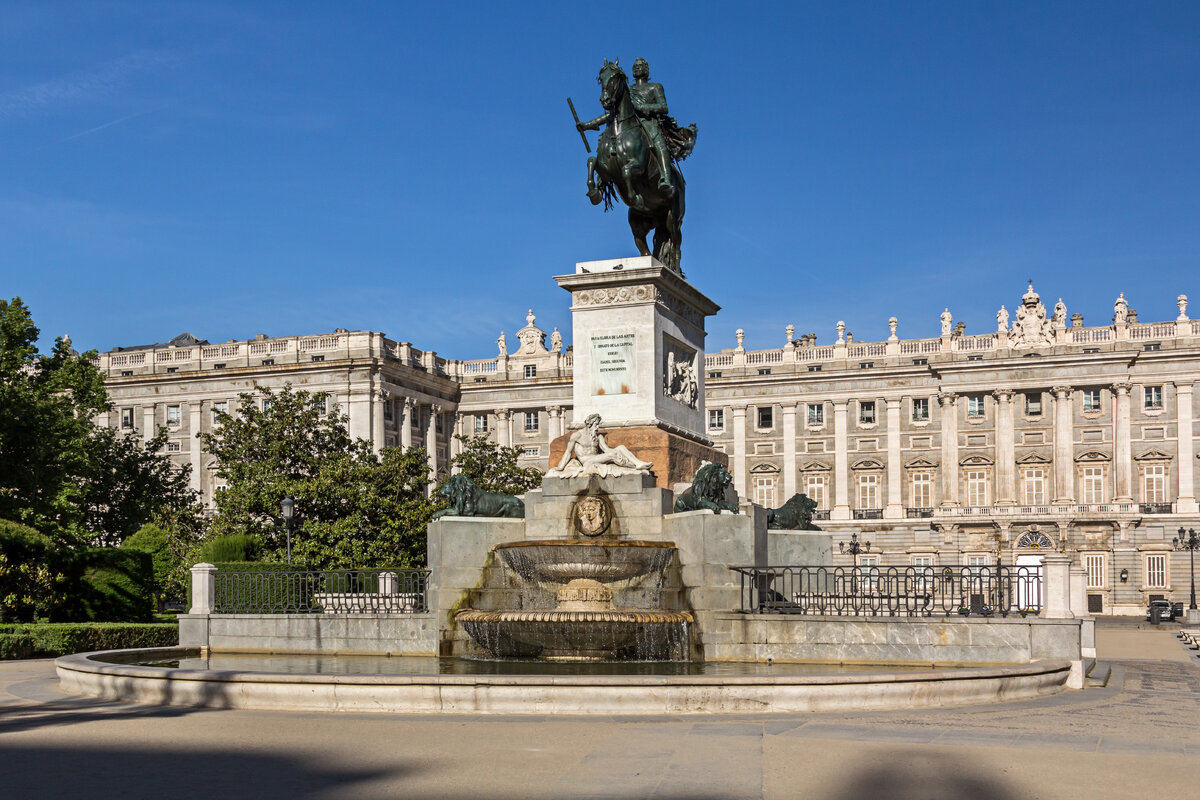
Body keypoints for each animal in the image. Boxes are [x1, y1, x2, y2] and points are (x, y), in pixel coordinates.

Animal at [583, 60, 686, 275]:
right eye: (601, 78)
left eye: (615, 78)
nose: (605, 100)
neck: (618, 131)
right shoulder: (607, 171)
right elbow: (591, 161)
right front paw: (594, 193)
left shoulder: (638, 166)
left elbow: (627, 171)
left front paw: (635, 197)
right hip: (638, 221)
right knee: (645, 247)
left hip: (672, 218)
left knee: (676, 246)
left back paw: (674, 270)